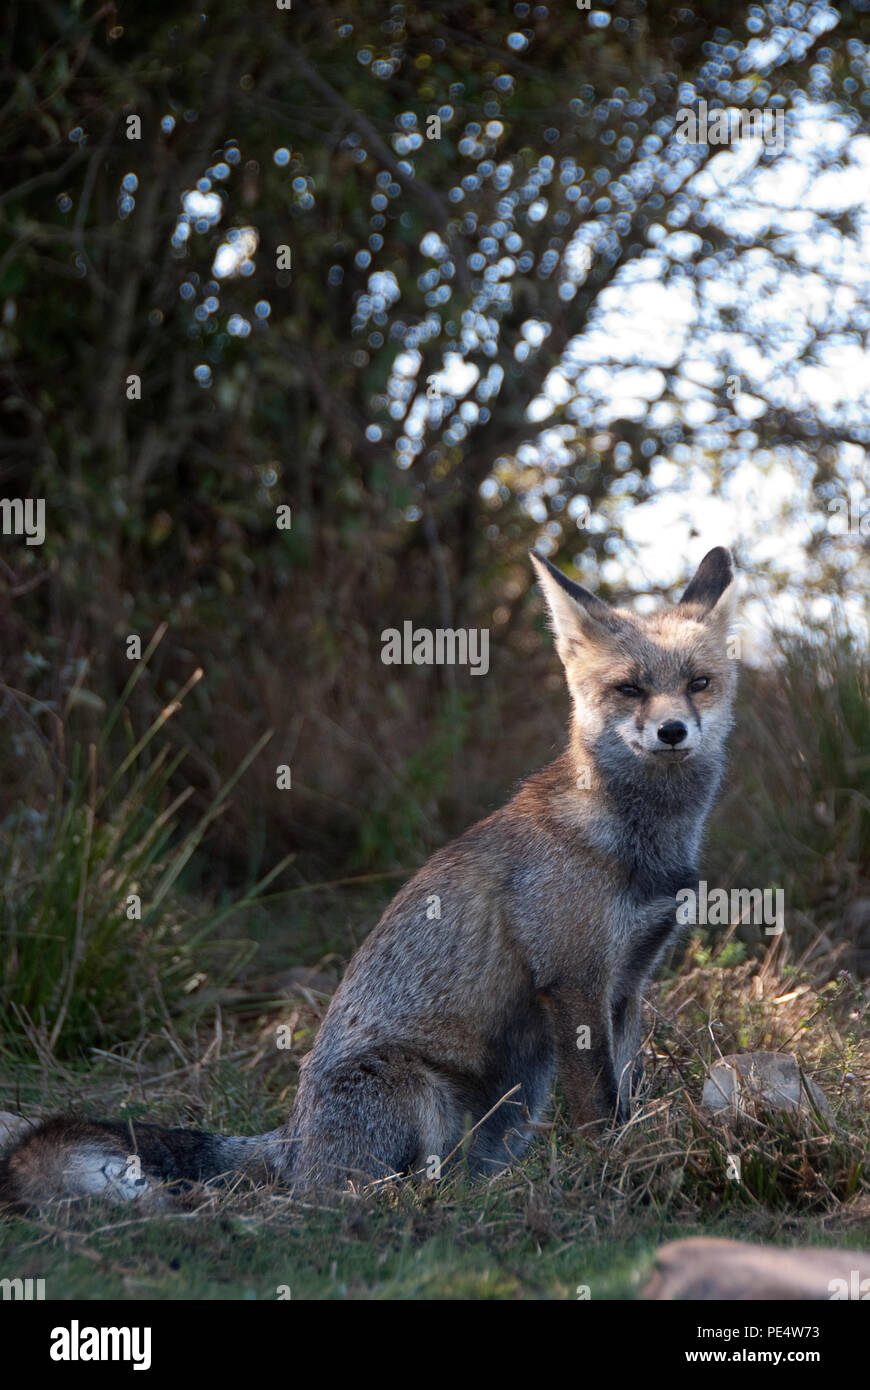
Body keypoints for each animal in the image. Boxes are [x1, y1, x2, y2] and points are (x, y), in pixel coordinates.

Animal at [0, 546, 738, 1206]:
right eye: (629, 689)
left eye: (698, 683)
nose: (673, 731)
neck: (639, 849)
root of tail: (292, 1138)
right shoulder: (575, 979)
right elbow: (599, 1110)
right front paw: (611, 1170)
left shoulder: (628, 982)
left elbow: (626, 1093)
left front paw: (636, 1154)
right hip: (417, 1092)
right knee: (345, 1190)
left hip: (518, 1098)